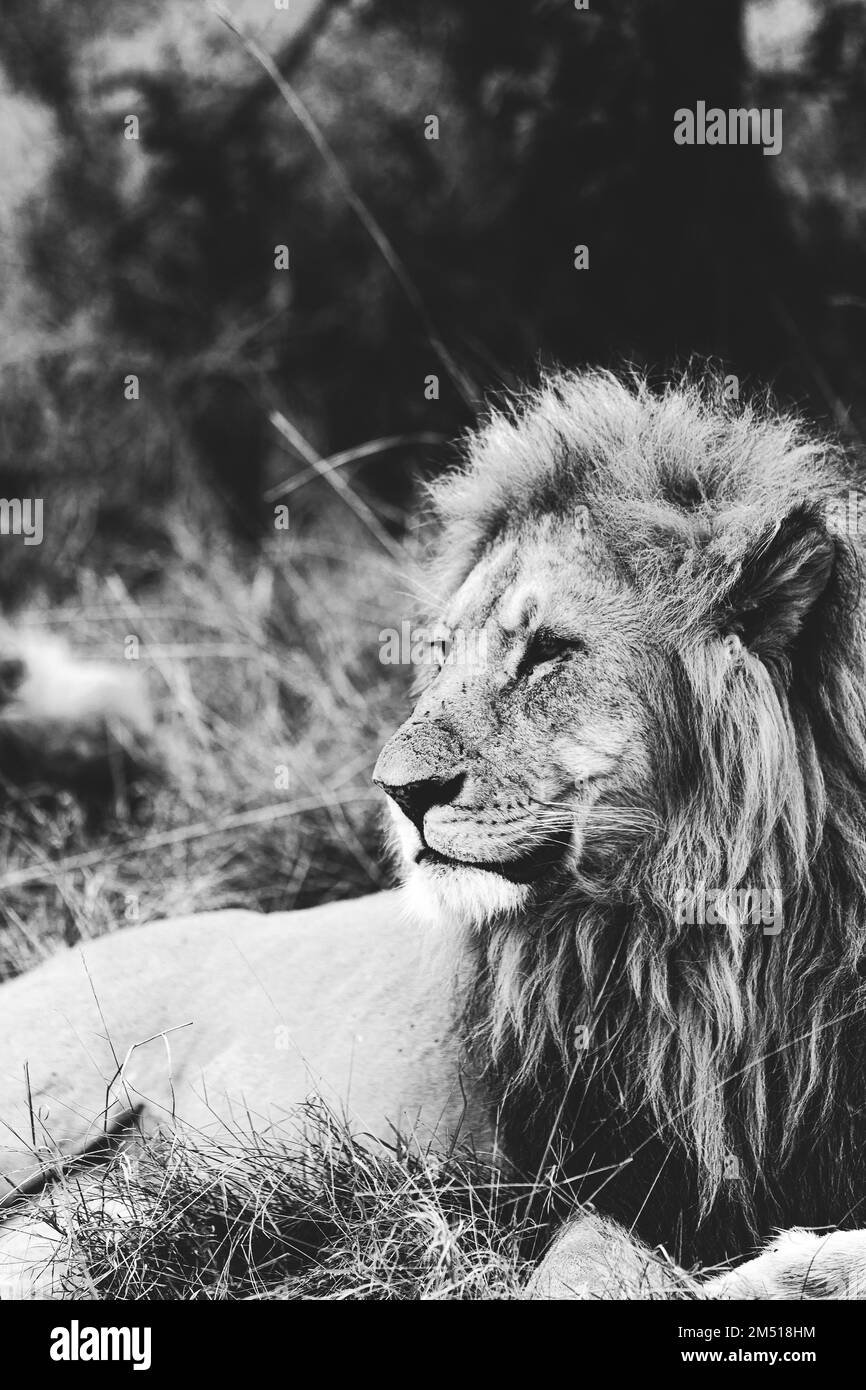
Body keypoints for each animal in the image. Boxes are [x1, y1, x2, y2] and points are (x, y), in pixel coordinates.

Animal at [2, 368, 866, 1299]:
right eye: (444, 653)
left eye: (550, 651)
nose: (399, 791)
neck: (713, 938)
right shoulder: (608, 1178)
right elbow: (579, 1269)